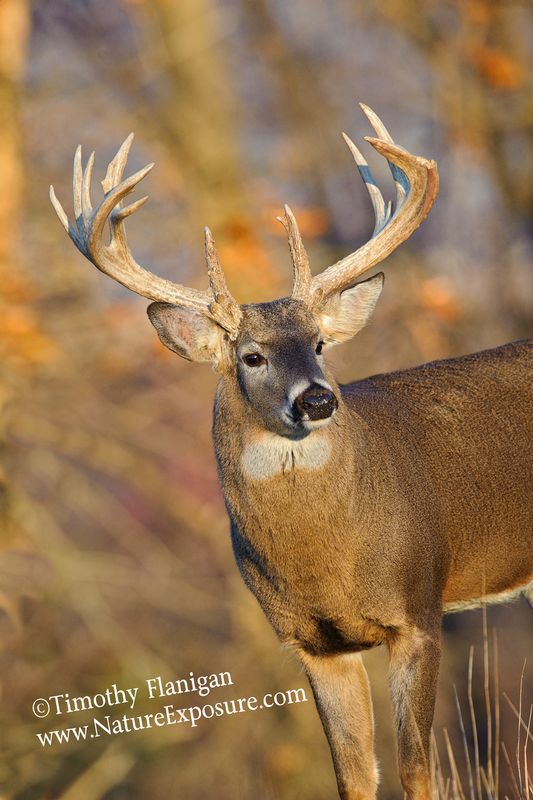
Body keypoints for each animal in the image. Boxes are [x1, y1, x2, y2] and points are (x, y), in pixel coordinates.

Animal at [50, 104, 532, 800]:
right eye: (252, 356)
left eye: (320, 344)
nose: (318, 399)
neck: (327, 560)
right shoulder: (313, 643)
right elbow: (353, 775)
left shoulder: (418, 609)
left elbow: (418, 768)